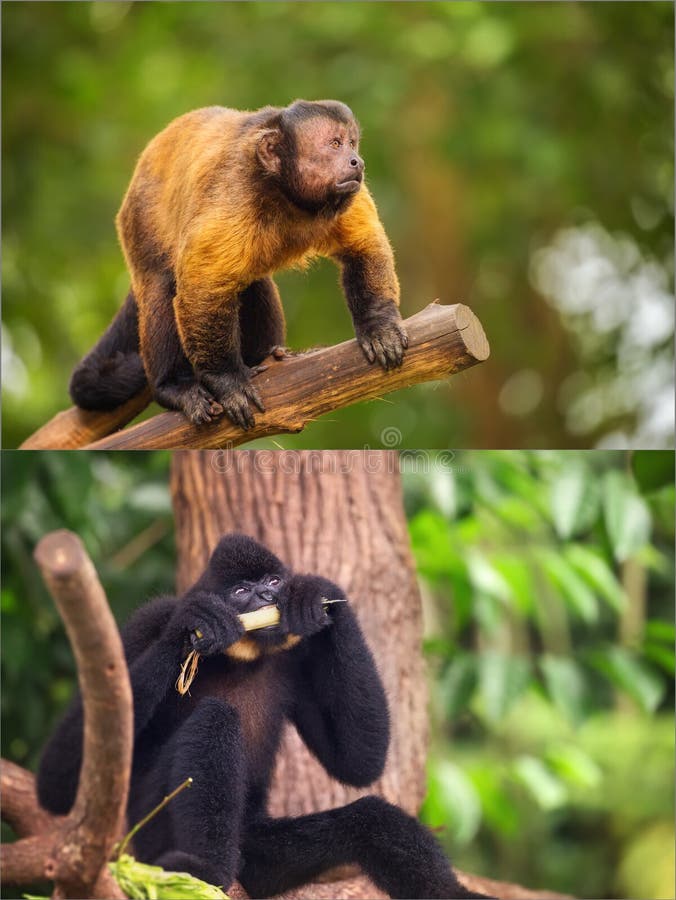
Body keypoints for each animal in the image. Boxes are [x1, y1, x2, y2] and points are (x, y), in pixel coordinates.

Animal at [37, 534, 491, 900]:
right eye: (242, 591)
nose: (267, 599)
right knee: (216, 717)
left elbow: (359, 763)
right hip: (150, 832)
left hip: (260, 857)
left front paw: (318, 594)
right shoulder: (150, 618)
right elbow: (57, 786)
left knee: (370, 820)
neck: (240, 656)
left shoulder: (297, 652)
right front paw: (192, 625)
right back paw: (206, 871)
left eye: (273, 582)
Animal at [68, 100, 409, 430]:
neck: (285, 194)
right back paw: (173, 386)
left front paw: (377, 325)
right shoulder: (235, 192)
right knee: (162, 284)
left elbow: (363, 245)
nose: (357, 161)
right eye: (334, 144)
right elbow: (203, 286)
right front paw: (227, 382)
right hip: (138, 224)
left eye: (352, 143)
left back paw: (265, 356)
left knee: (250, 282)